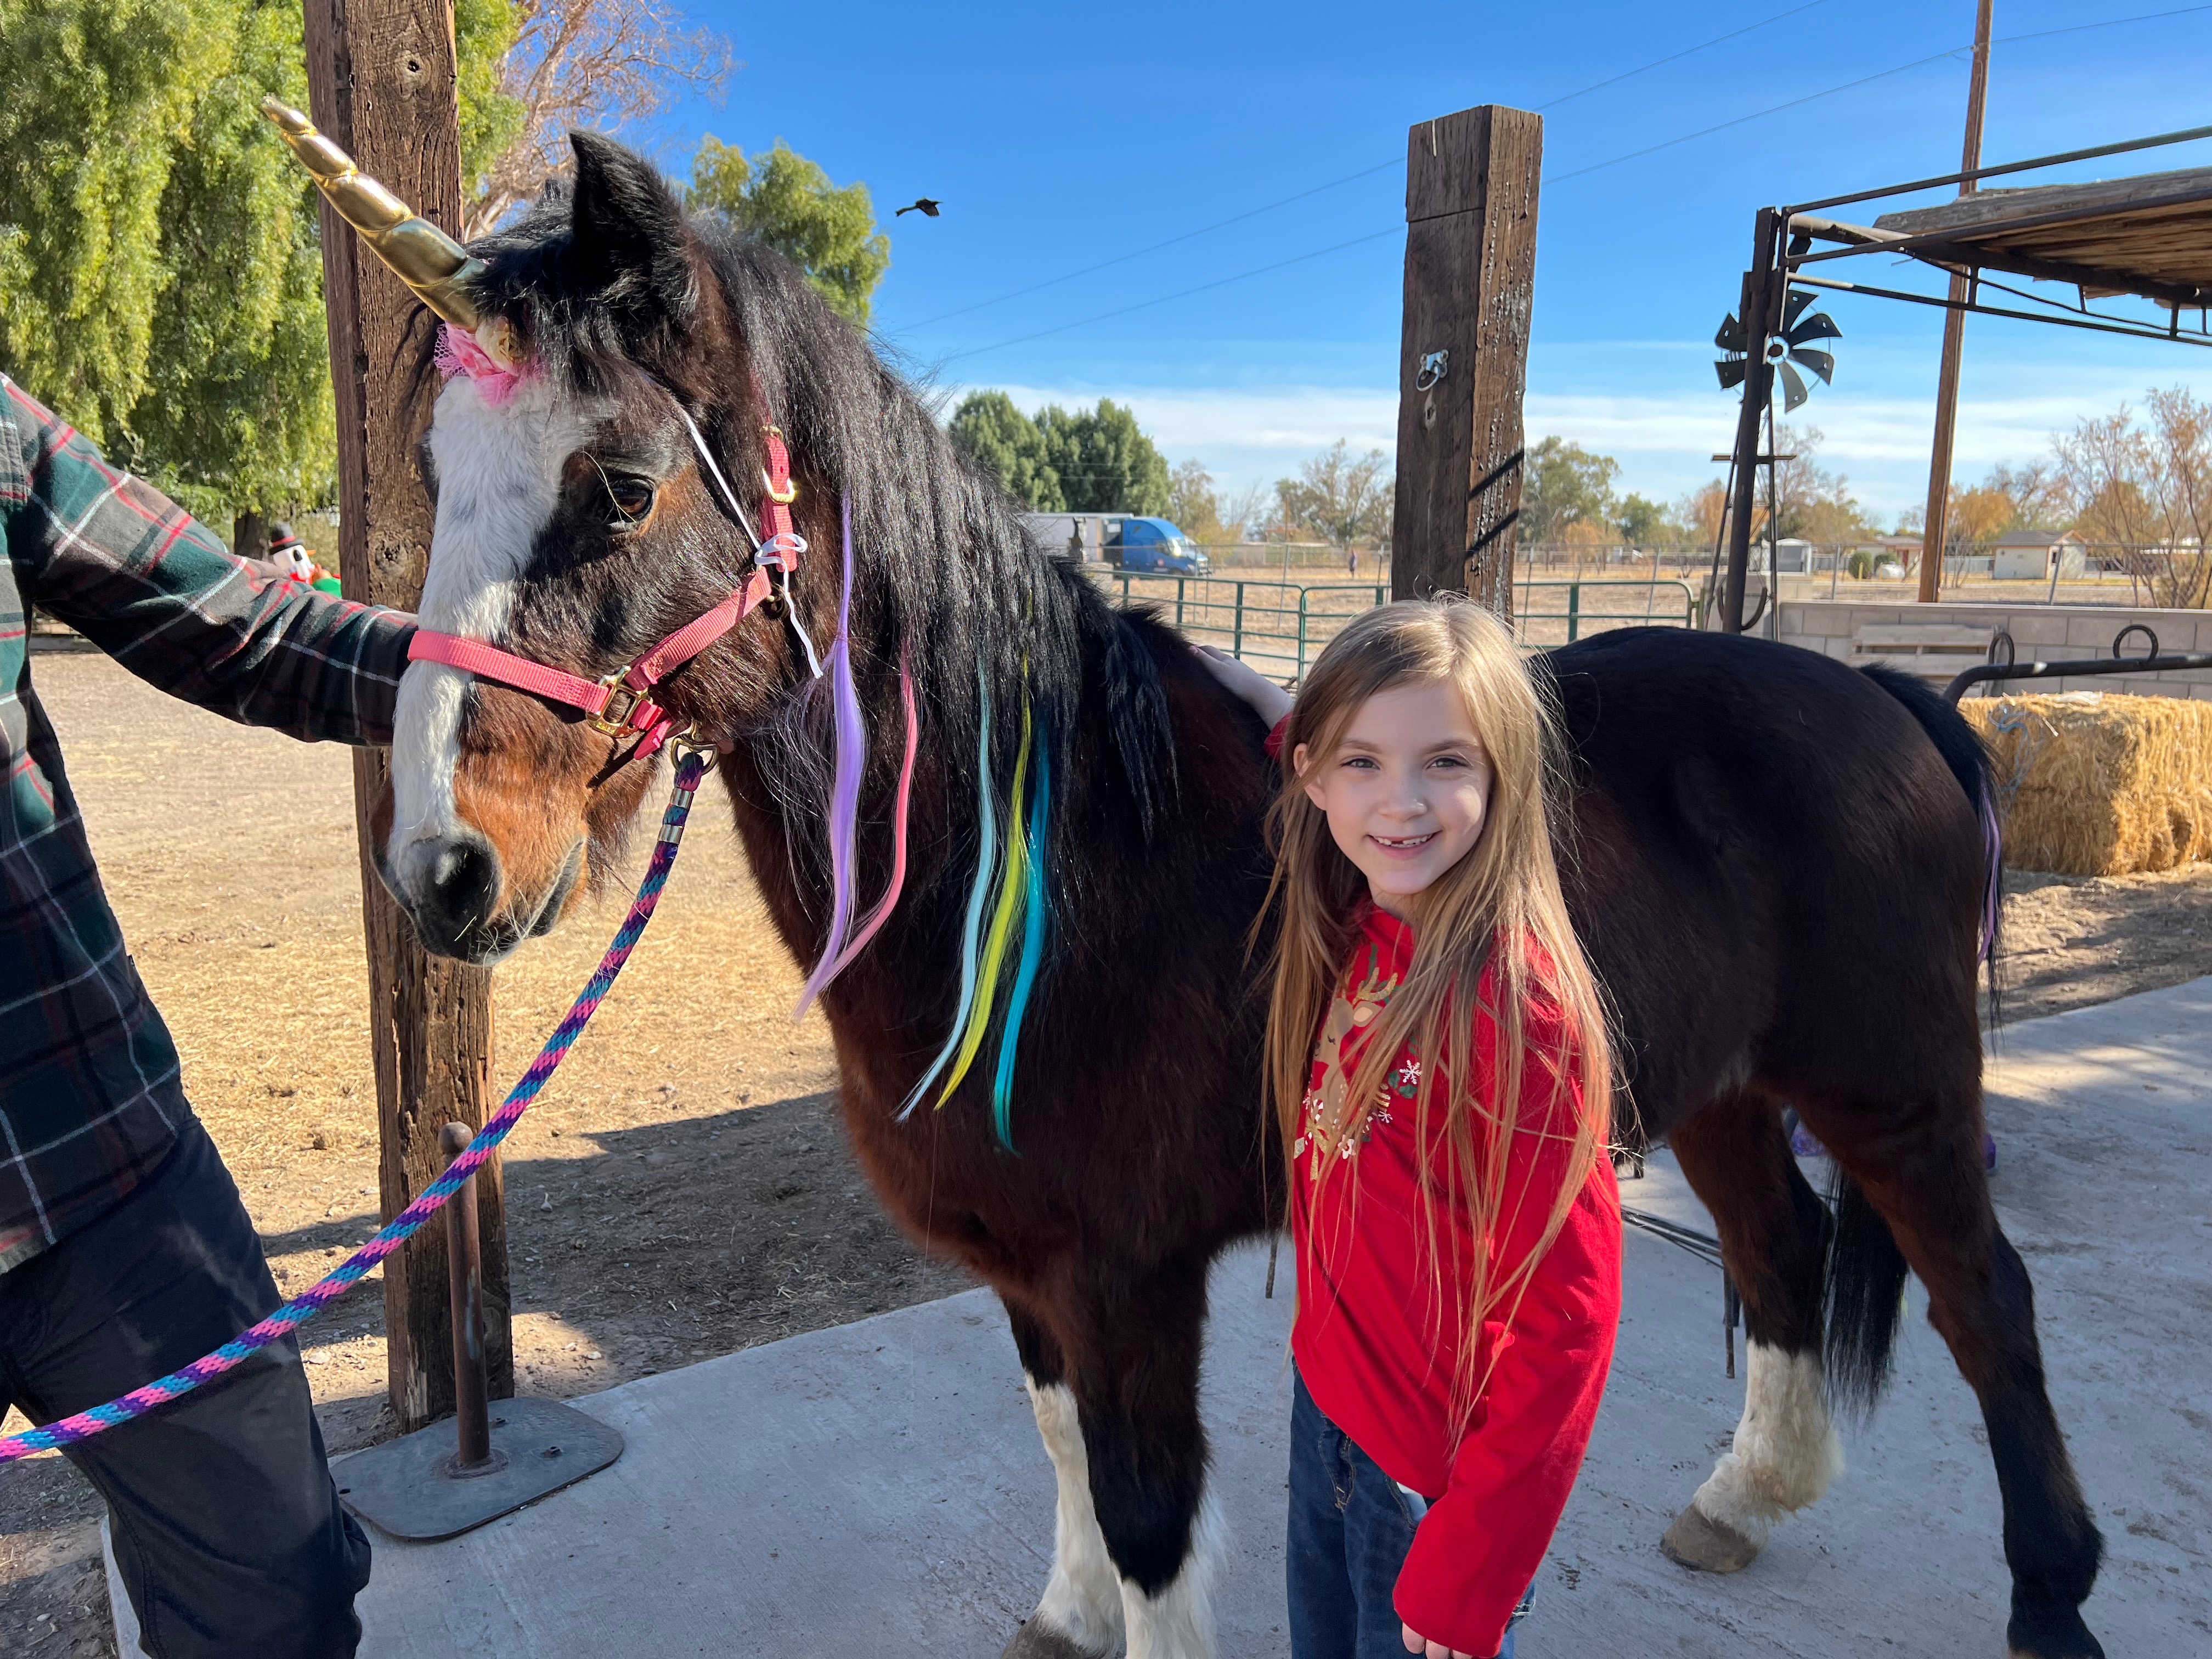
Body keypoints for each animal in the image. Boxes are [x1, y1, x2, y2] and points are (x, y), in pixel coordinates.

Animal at [339, 133, 2104, 1659]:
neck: (1070, 855)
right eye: (431, 474)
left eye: (624, 486)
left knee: (1989, 1297)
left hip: (1896, 1088)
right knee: (1786, 1257)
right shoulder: (1031, 1271)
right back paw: (1745, 1500)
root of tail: (1884, 698)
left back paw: (2051, 1588)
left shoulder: (1129, 1279)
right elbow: (1063, 1452)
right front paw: (1061, 1618)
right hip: (1723, 1088)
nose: (445, 869)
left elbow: (1148, 1517)